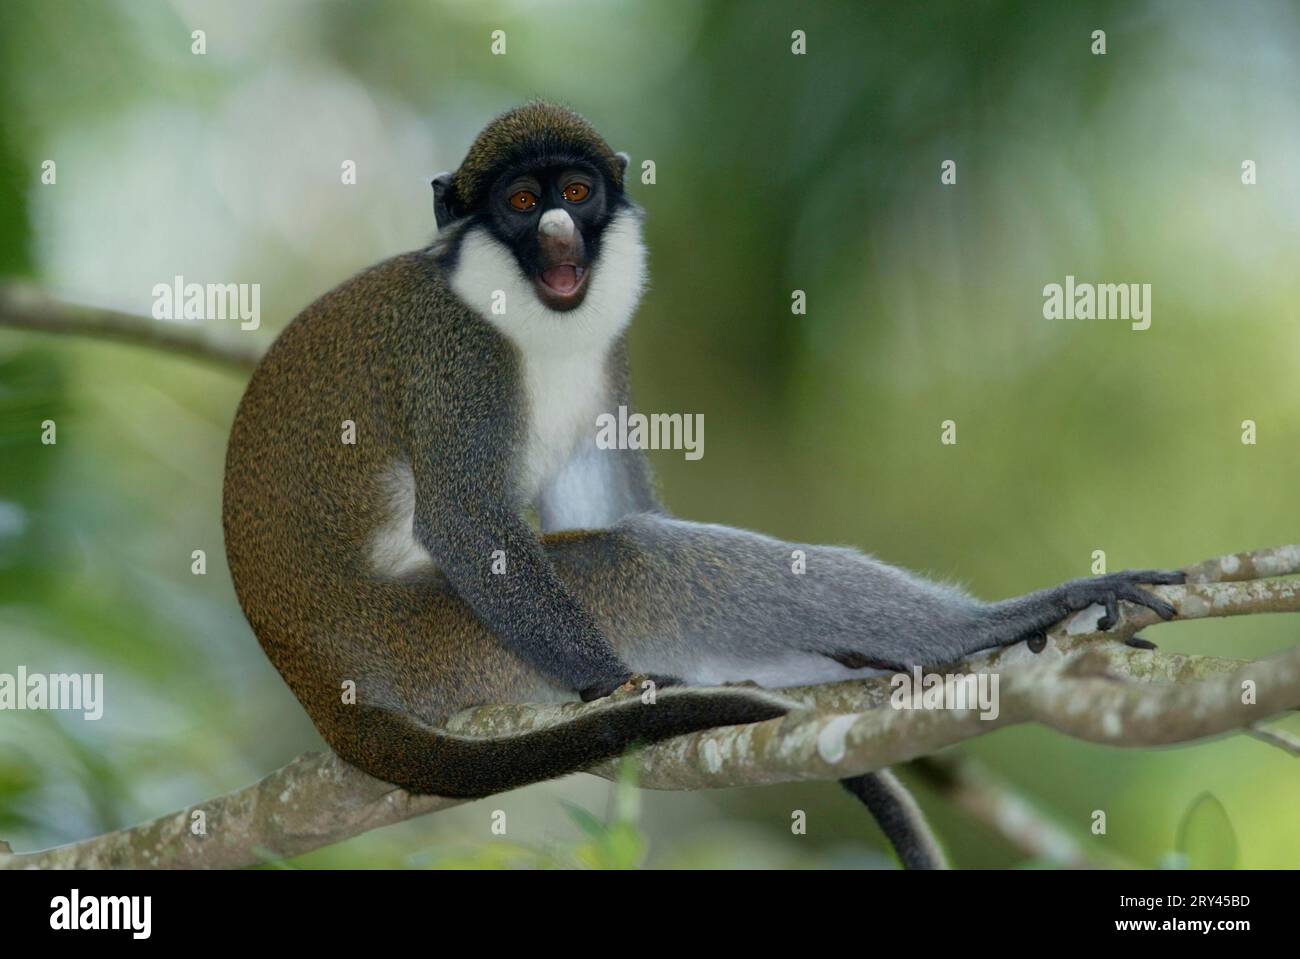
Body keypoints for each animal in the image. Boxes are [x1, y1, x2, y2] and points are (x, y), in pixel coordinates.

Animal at [222, 101, 1183, 865]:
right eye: (522, 204)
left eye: (577, 193)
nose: (561, 235)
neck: (528, 315)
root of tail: (312, 668)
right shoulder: (459, 359)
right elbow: (469, 521)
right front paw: (614, 686)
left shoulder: (607, 354)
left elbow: (602, 502)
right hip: (432, 636)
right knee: (640, 561)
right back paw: (985, 629)